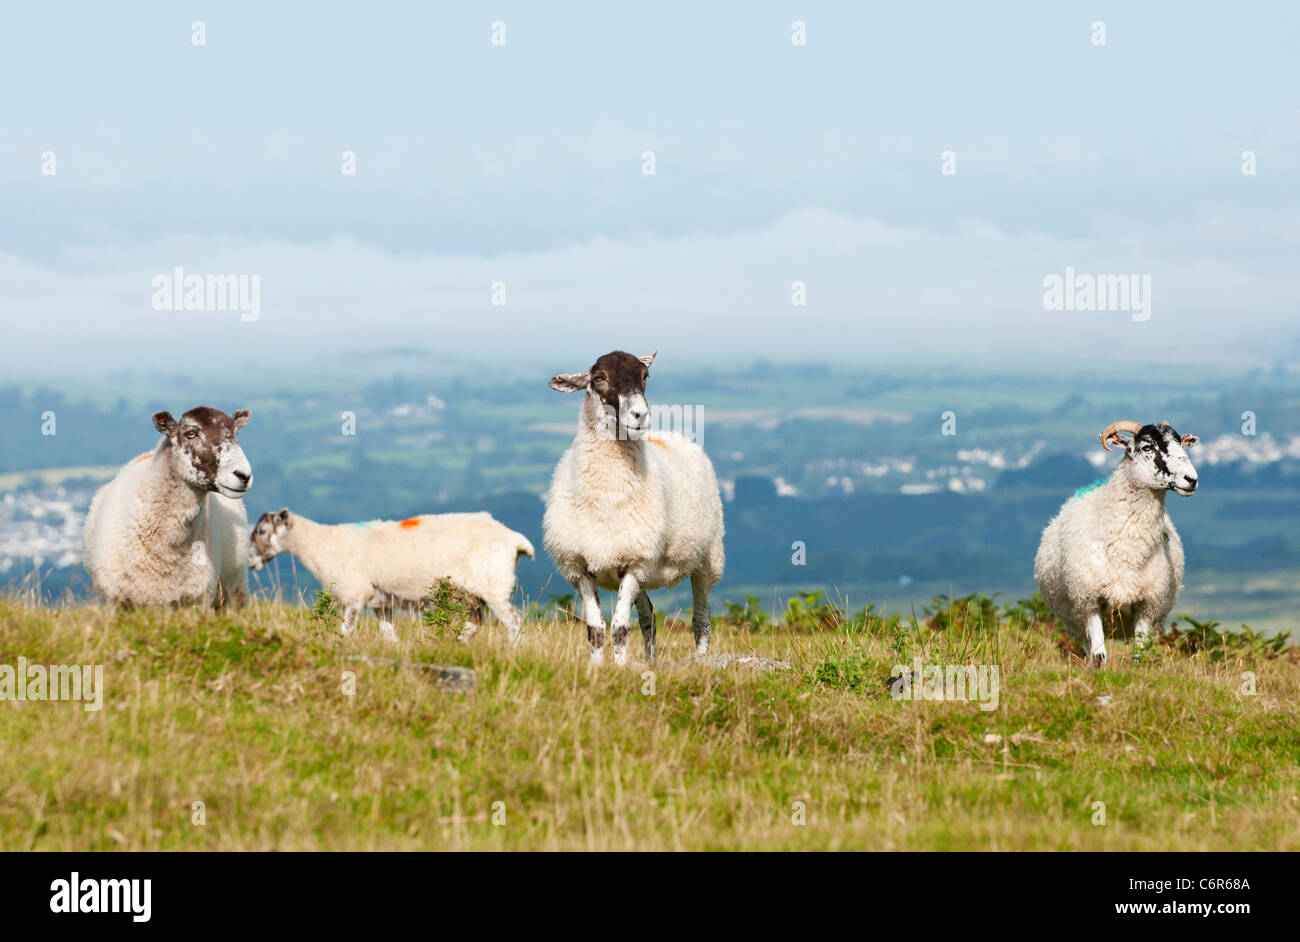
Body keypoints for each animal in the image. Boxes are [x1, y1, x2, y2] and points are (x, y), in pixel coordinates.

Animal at [82, 406, 254, 608]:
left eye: (236, 433)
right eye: (191, 433)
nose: (244, 475)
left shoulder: (199, 599)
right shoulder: (116, 599)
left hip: (234, 590)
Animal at [248, 508, 534, 643]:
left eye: (262, 531)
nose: (250, 561)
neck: (318, 545)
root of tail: (514, 539)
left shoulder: (355, 594)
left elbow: (346, 631)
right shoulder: (381, 603)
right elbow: (388, 634)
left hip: (493, 587)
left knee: (513, 621)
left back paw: (513, 650)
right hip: (472, 593)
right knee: (476, 622)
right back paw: (458, 643)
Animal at [543, 350, 725, 666]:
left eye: (645, 377)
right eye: (599, 377)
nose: (640, 415)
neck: (605, 499)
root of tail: (672, 435)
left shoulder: (635, 563)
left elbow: (619, 629)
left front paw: (619, 668)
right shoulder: (580, 567)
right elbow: (595, 630)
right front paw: (596, 668)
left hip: (707, 558)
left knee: (701, 619)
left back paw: (701, 659)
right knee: (648, 614)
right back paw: (650, 659)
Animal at [1034, 420, 1200, 667]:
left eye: (1181, 444)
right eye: (1147, 447)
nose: (1191, 480)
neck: (1127, 552)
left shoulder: (1147, 605)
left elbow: (1140, 655)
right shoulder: (1089, 602)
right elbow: (1099, 656)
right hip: (1074, 621)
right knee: (1088, 648)